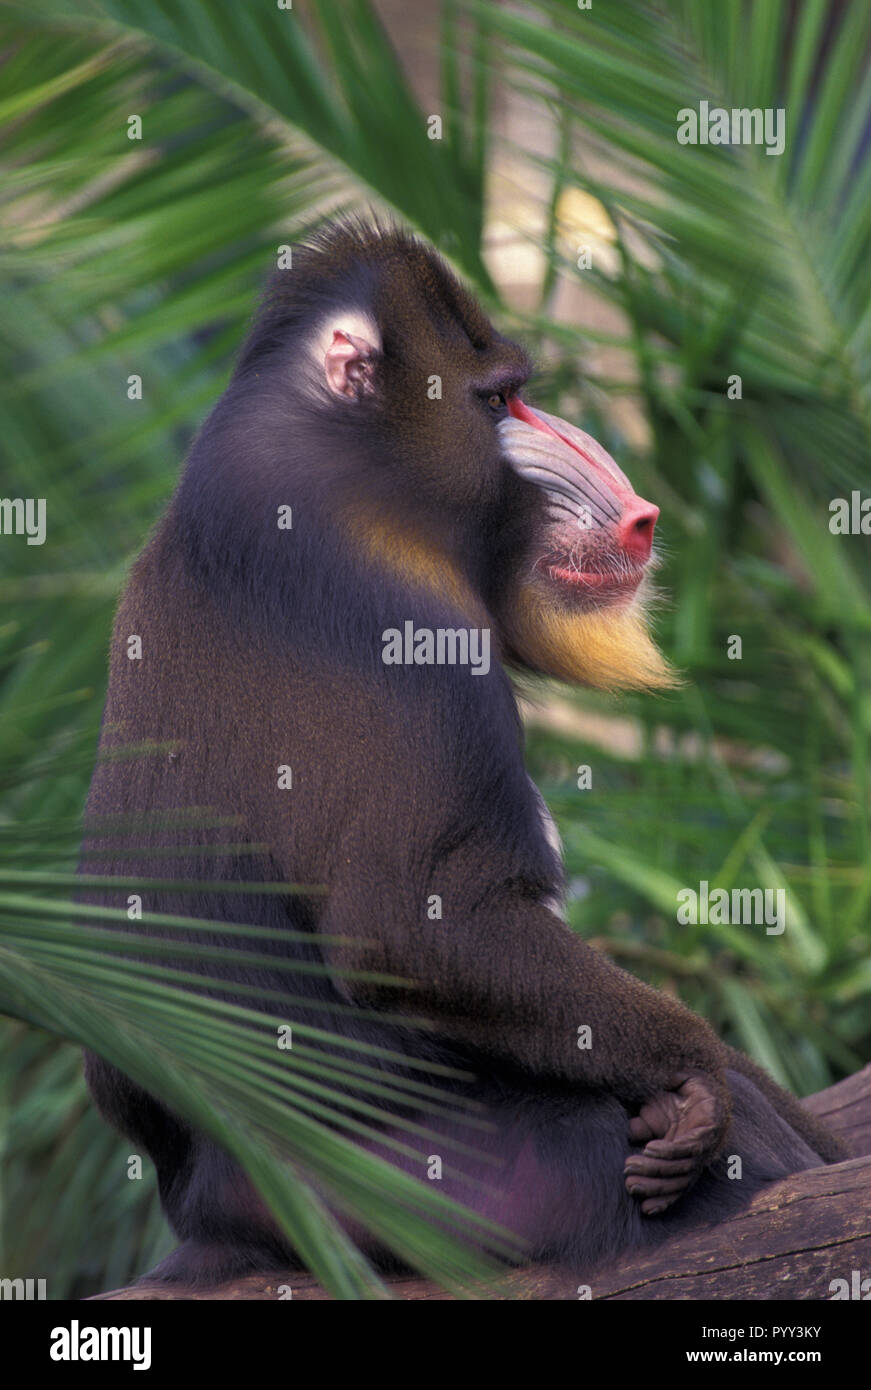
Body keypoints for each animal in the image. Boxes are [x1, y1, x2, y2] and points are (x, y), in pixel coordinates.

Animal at [80, 219, 845, 1289]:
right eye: (493, 401)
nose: (643, 515)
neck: (348, 475)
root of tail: (206, 1203)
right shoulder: (418, 638)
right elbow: (416, 926)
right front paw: (691, 1074)